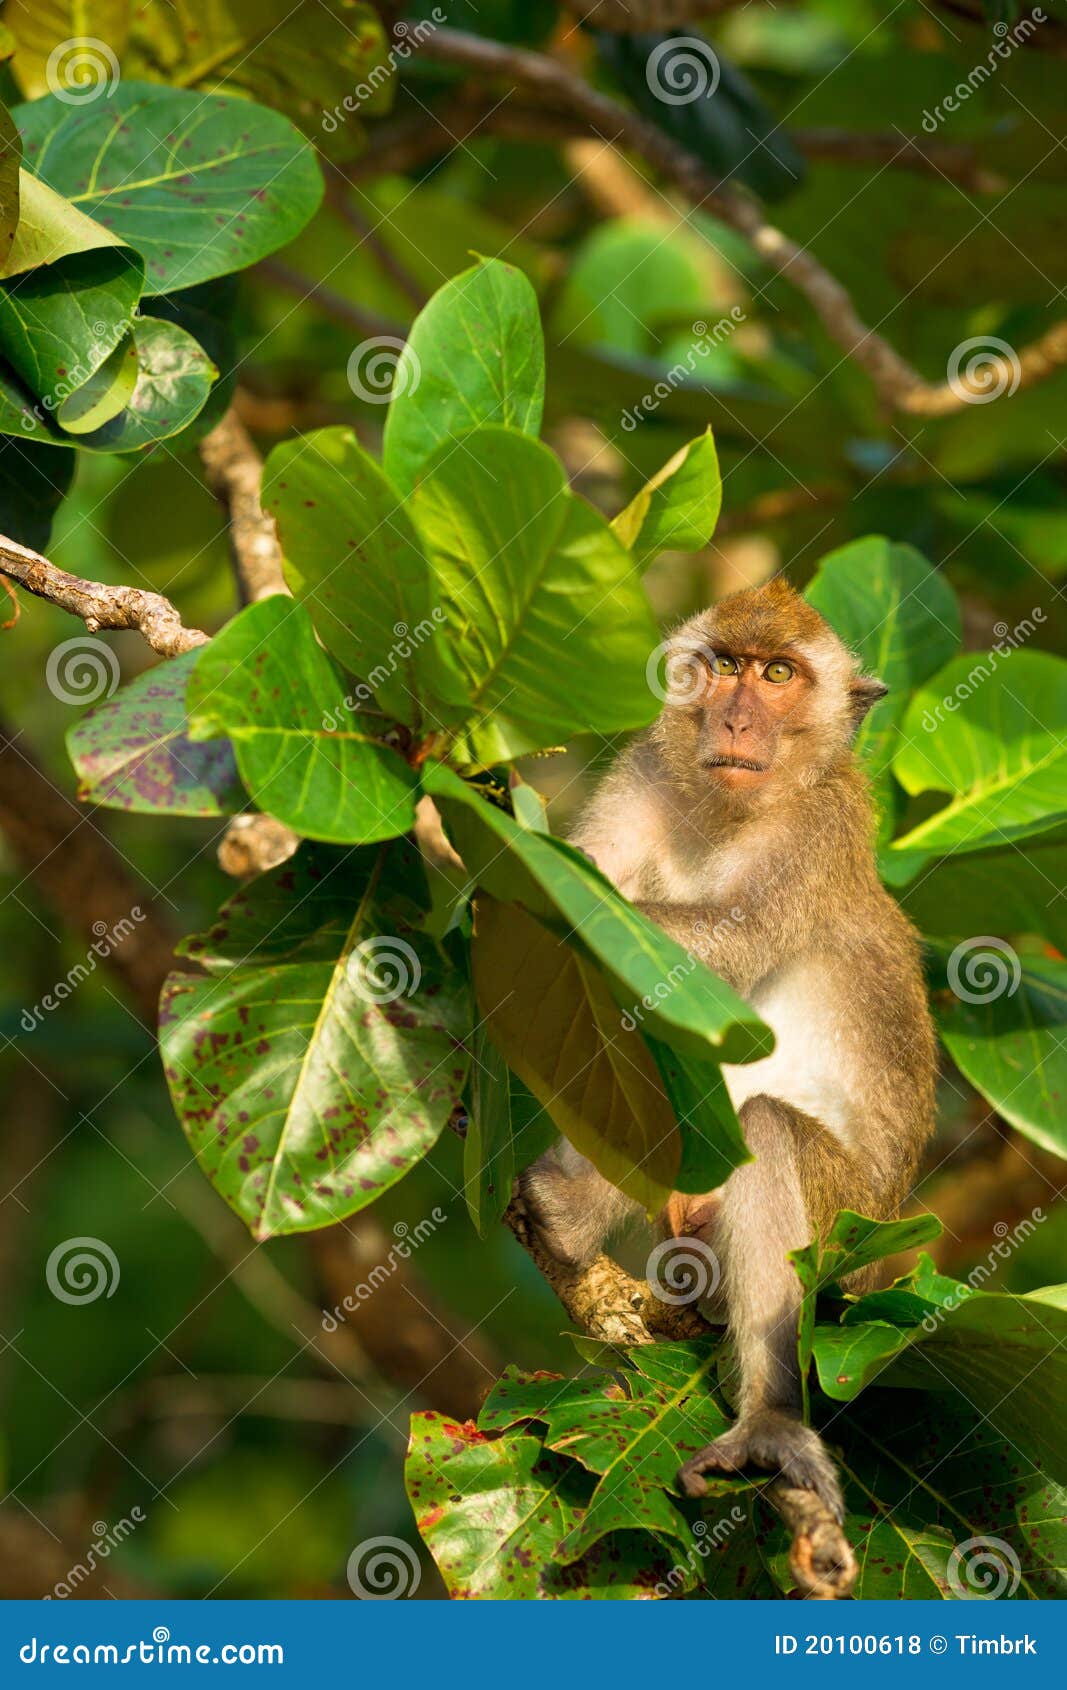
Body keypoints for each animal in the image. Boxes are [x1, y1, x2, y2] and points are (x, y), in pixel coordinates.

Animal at [521, 576, 937, 1519]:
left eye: (778, 674)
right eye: (722, 667)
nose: (735, 720)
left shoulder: (818, 827)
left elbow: (715, 956)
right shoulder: (642, 772)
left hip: (842, 1226)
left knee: (765, 1133)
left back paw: (769, 1419)